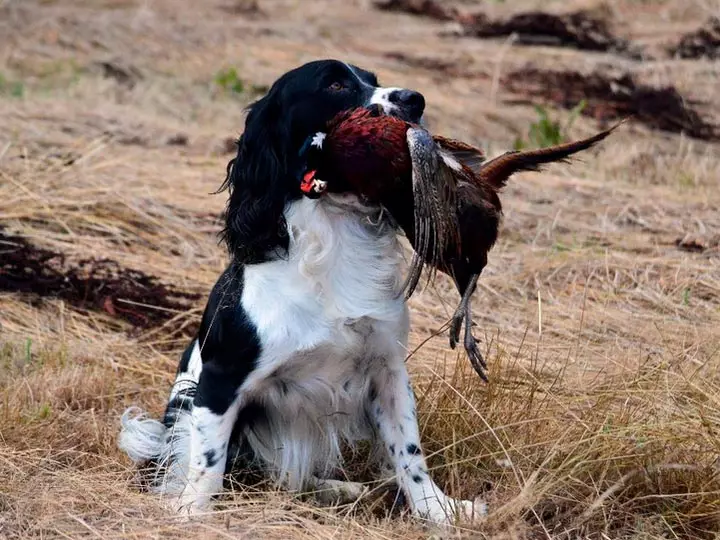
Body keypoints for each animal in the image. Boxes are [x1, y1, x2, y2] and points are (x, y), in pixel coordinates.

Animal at [121, 60, 486, 528]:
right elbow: (208, 464)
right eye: (335, 84)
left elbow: (410, 454)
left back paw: (341, 489)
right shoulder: (220, 379)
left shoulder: (388, 372)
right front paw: (191, 515)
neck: (336, 233)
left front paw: (441, 511)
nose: (414, 99)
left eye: (372, 78)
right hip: (187, 401)